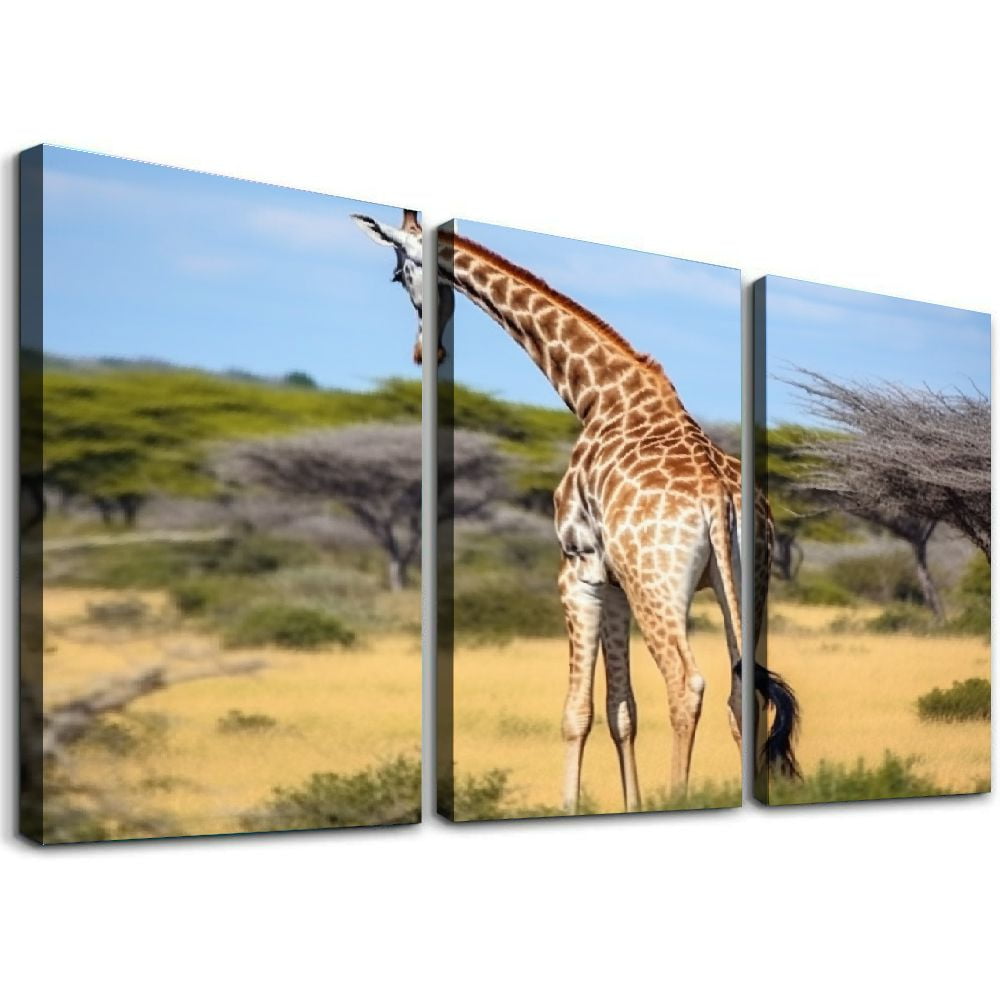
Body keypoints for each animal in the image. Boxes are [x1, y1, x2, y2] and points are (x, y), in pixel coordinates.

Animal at [353, 211, 799, 812]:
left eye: (397, 275)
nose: (425, 355)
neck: (599, 395)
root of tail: (717, 495)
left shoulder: (578, 570)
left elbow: (577, 713)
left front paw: (569, 805)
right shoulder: (614, 583)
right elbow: (621, 711)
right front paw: (630, 805)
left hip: (659, 587)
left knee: (686, 685)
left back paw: (678, 799)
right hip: (747, 582)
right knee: (739, 692)